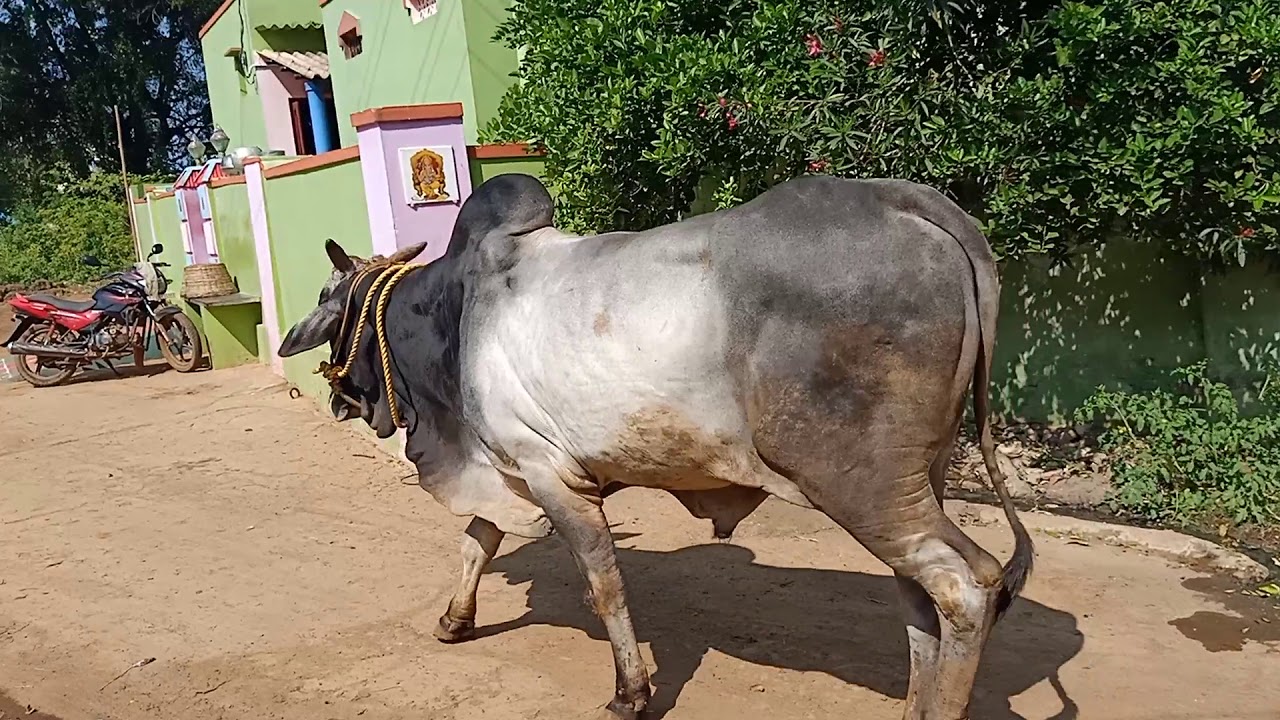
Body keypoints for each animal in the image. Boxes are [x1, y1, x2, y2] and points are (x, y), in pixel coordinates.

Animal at [278, 173, 1033, 720]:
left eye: (331, 304)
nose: (337, 398)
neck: (455, 316)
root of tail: (910, 202)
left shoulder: (549, 474)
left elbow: (603, 583)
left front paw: (630, 693)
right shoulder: (511, 467)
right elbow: (476, 542)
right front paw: (452, 621)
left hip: (860, 484)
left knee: (966, 588)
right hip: (917, 480)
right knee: (920, 600)